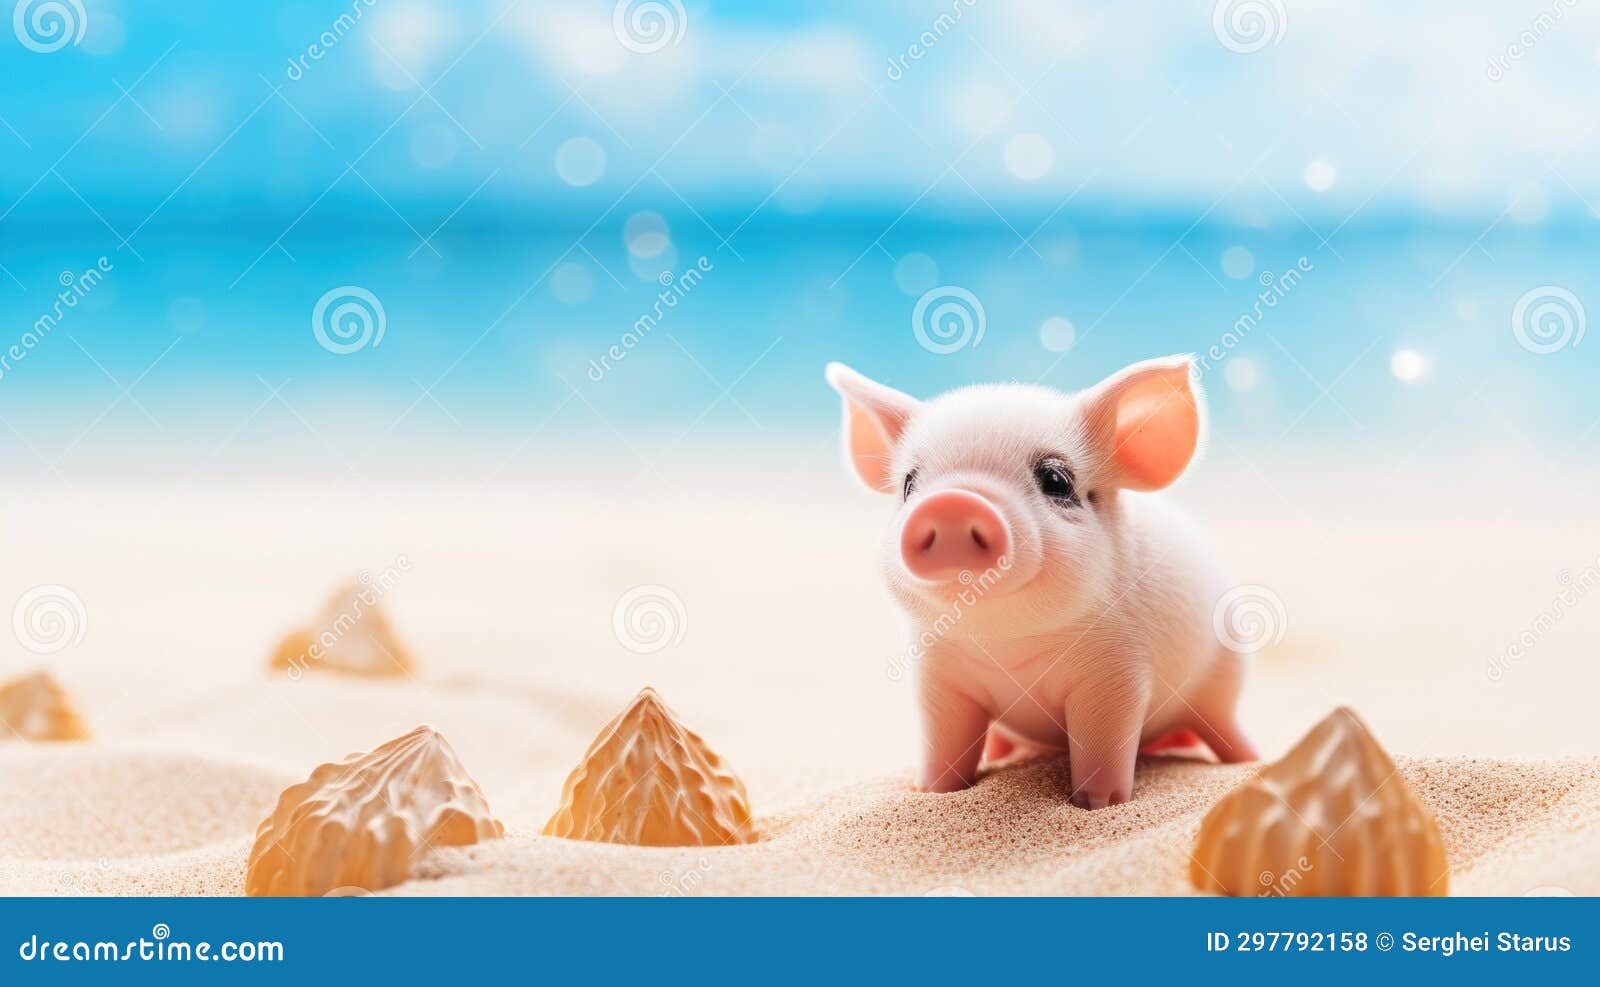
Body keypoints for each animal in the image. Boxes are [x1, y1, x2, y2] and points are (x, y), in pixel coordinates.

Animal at [826, 355, 1257, 809]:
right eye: (909, 485)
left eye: (1056, 481)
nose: (951, 504)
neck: (1006, 644)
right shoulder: (939, 676)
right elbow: (945, 738)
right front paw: (932, 791)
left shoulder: (1116, 673)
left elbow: (1104, 741)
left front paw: (1095, 804)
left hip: (1222, 680)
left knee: (1224, 727)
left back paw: (1249, 760)